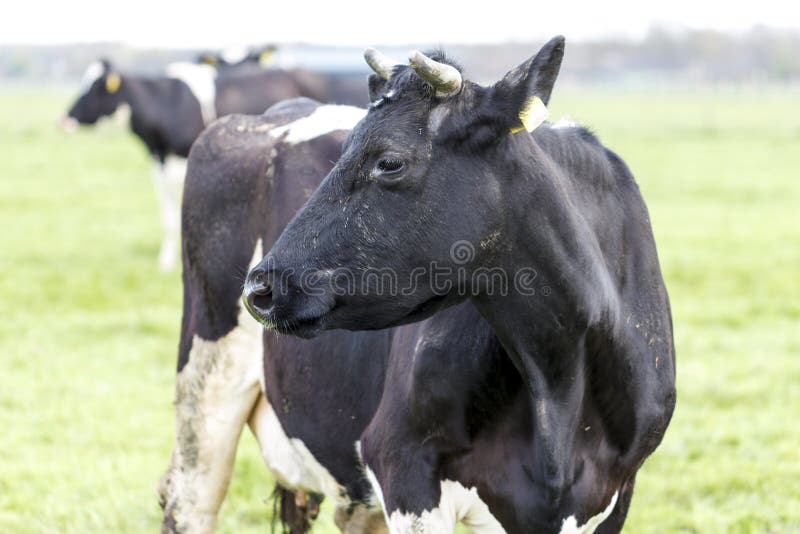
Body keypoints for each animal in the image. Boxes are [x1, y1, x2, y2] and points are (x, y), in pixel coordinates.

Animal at [61, 59, 368, 270]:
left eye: (95, 88)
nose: (64, 120)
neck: (167, 101)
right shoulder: (159, 165)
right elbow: (169, 217)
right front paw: (166, 261)